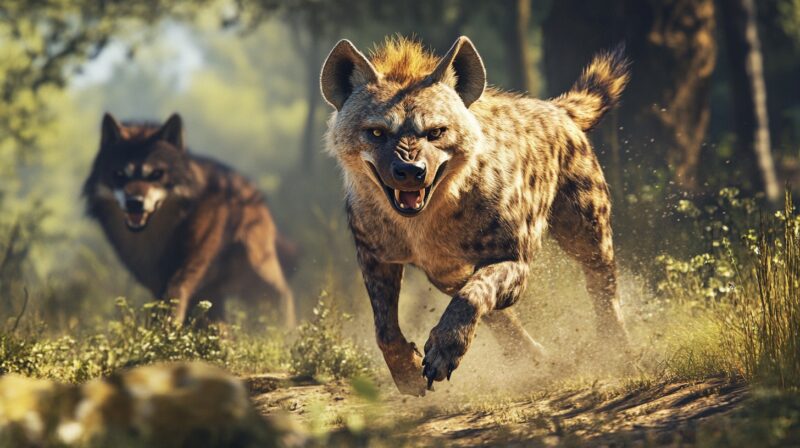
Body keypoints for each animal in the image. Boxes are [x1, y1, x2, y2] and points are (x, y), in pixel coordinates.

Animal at [83, 113, 296, 326]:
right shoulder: (153, 280)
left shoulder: (192, 260)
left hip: (258, 272)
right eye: (119, 174)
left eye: (156, 174)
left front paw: (166, 328)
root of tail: (253, 188)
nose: (134, 203)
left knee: (283, 293)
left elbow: (175, 291)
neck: (157, 237)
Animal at [320, 36, 630, 395]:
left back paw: (615, 346)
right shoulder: (375, 257)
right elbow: (384, 327)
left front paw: (442, 352)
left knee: (602, 282)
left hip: (586, 224)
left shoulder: (513, 258)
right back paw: (532, 356)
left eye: (436, 131)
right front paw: (409, 373)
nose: (410, 171)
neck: (422, 225)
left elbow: (475, 294)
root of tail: (556, 108)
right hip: (445, 273)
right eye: (376, 132)